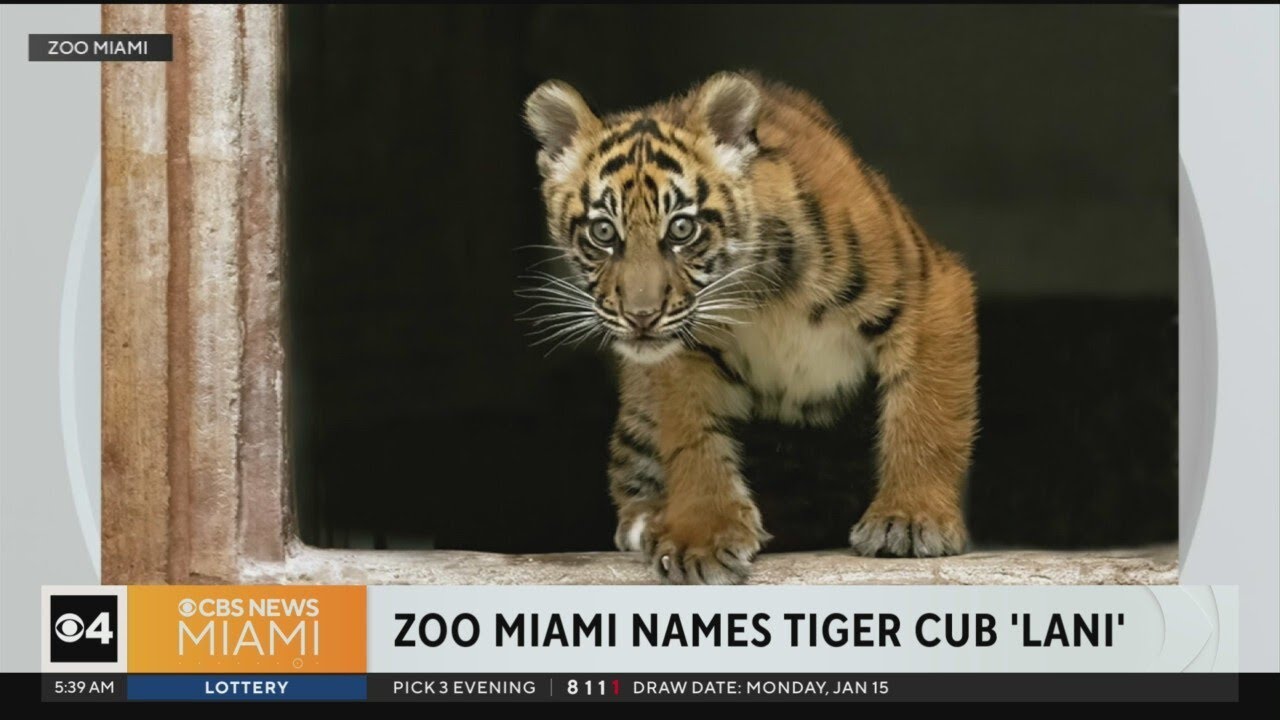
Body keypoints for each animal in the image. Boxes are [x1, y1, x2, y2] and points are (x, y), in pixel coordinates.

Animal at [522, 72, 979, 584]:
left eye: (681, 229)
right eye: (603, 233)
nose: (641, 316)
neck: (756, 295)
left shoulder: (929, 295)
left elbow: (925, 419)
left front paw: (911, 519)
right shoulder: (684, 353)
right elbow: (693, 441)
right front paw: (700, 538)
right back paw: (649, 522)